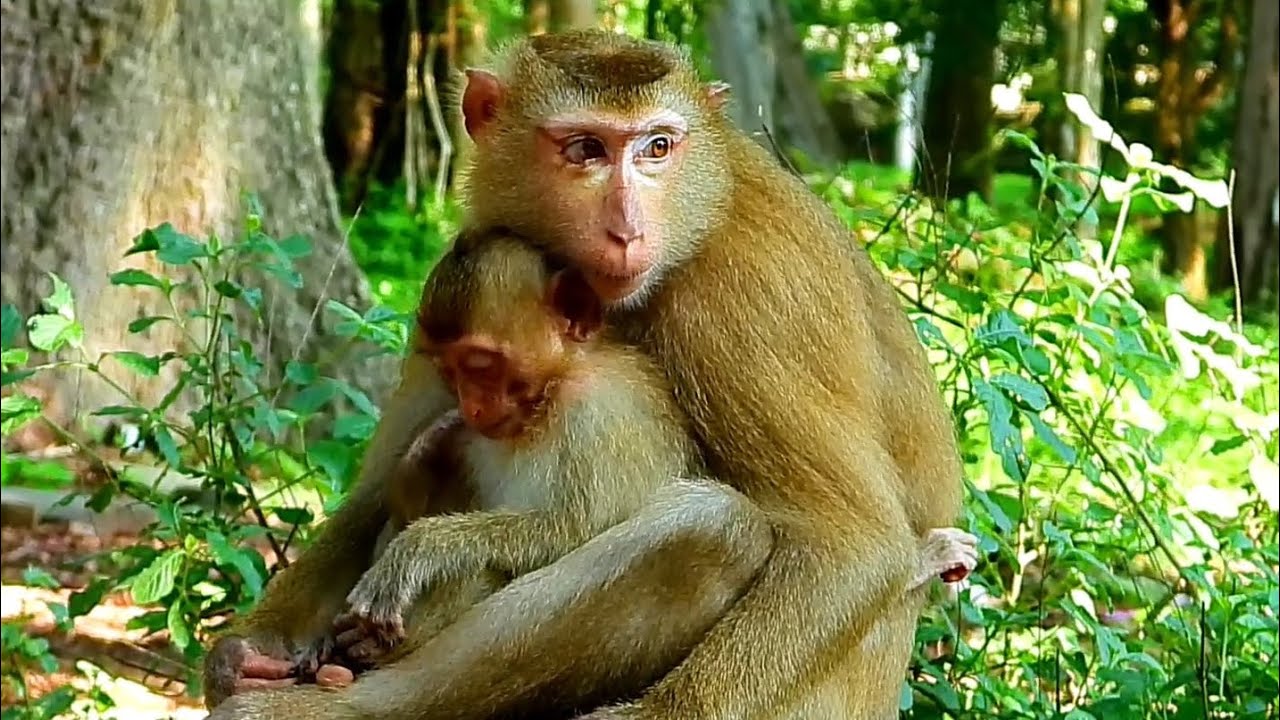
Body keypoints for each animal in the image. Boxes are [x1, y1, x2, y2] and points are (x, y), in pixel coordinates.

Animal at [203, 30, 965, 720]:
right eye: (585, 150)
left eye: (657, 147)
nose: (627, 230)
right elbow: (375, 490)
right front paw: (239, 655)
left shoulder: (747, 298)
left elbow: (853, 547)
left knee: (710, 529)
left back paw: (349, 703)